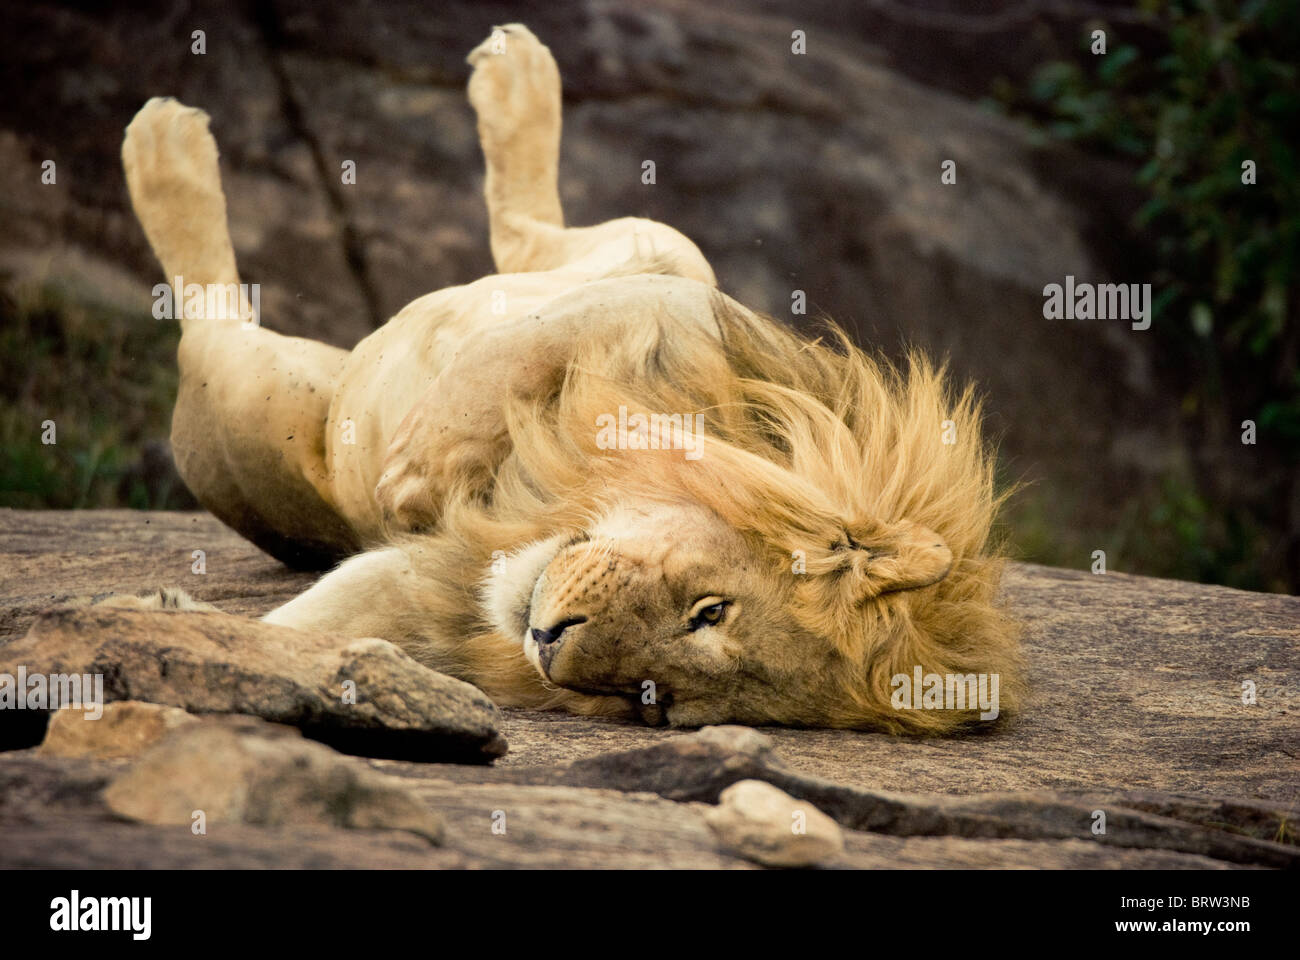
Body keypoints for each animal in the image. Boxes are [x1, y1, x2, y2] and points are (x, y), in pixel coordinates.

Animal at [117, 24, 1021, 731]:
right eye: (710, 610)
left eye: (653, 705)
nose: (547, 642)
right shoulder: (700, 321)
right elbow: (627, 298)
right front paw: (424, 463)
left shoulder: (426, 579)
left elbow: (318, 627)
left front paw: (161, 625)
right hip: (256, 396)